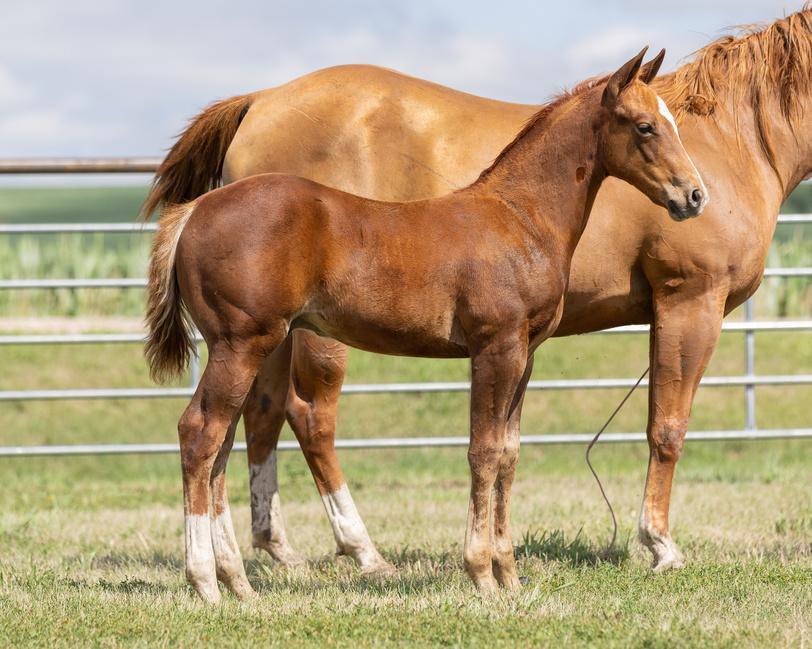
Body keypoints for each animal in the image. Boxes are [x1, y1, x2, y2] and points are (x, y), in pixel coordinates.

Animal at [141, 6, 812, 577]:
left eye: (675, 125)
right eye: (647, 126)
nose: (694, 197)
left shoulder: (539, 346)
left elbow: (514, 449)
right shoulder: (684, 300)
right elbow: (658, 428)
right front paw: (657, 548)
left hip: (266, 336)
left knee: (248, 421)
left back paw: (261, 561)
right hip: (284, 339)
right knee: (281, 421)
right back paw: (335, 558)